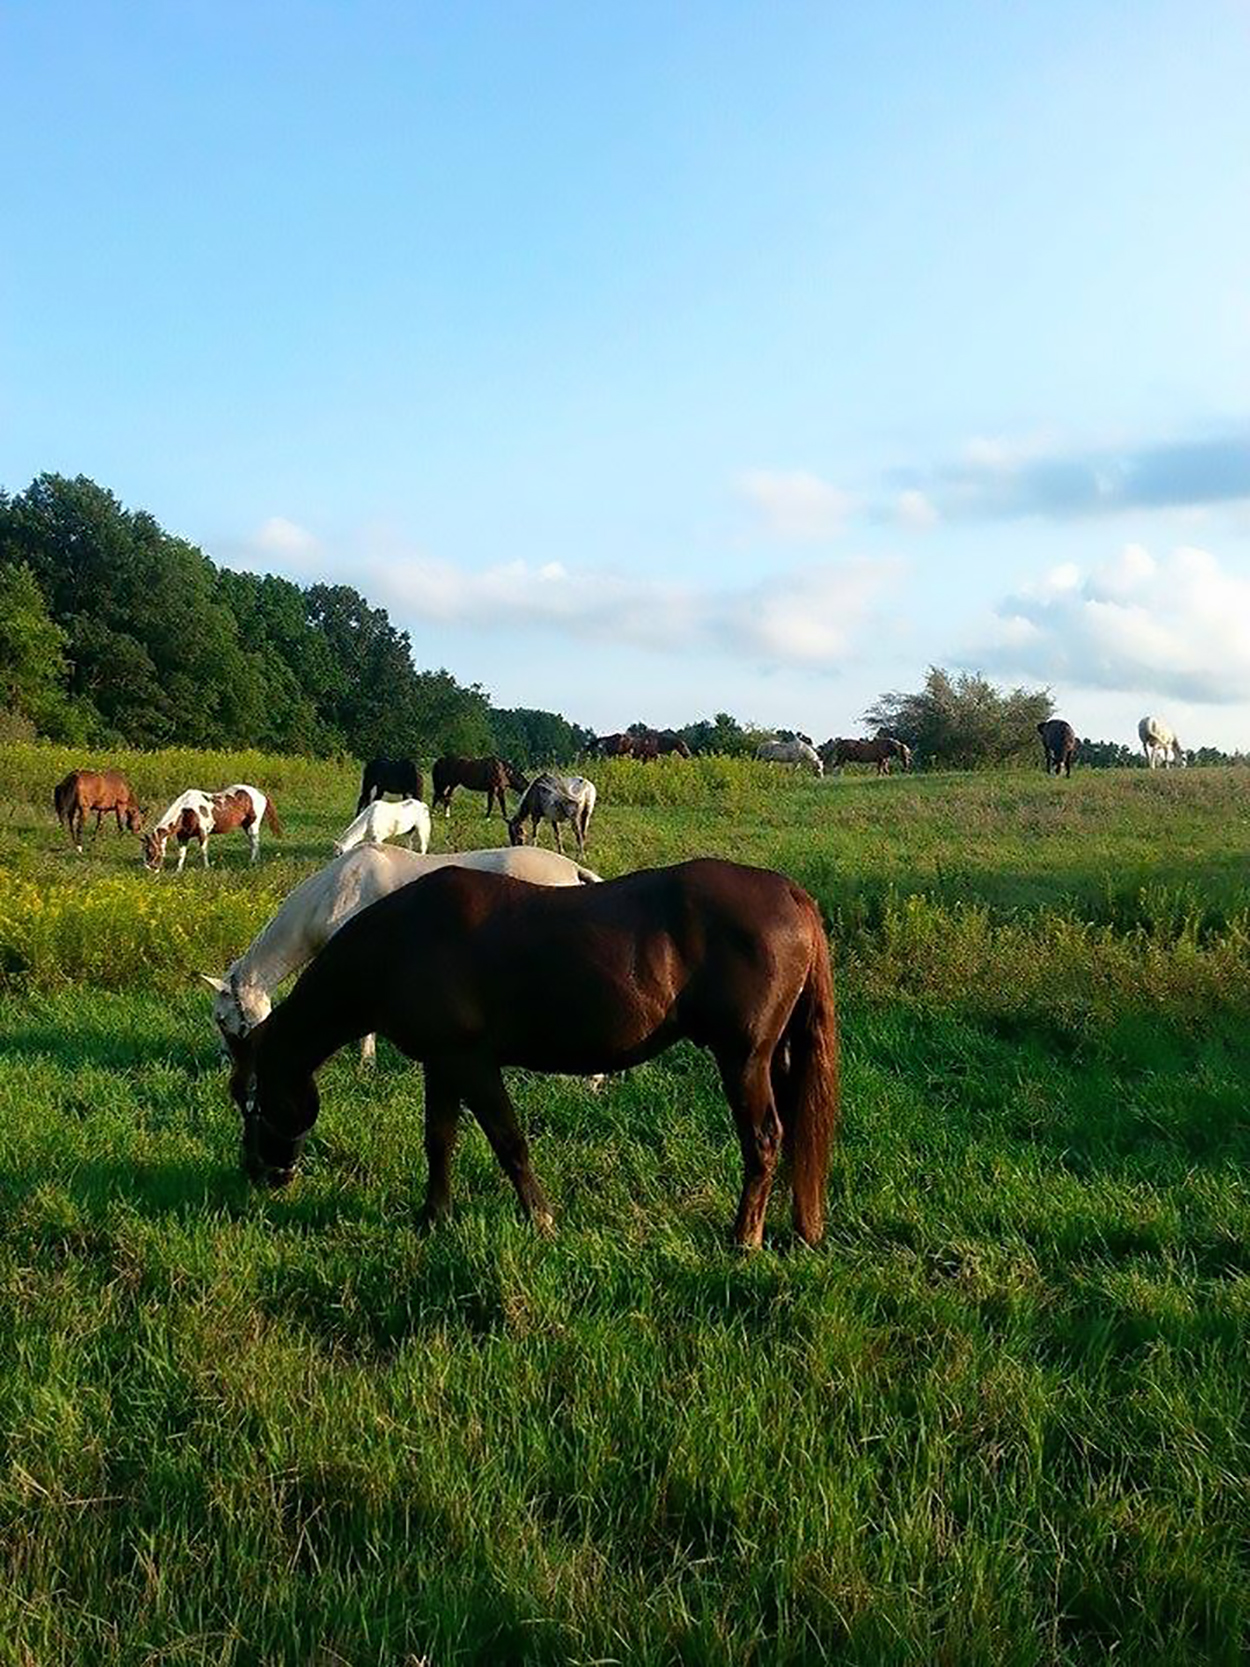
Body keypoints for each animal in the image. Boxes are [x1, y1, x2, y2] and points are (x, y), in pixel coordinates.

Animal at [142, 784, 281, 872]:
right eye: (145, 850)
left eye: (150, 850)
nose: (150, 868)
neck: (186, 812)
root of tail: (260, 793)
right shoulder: (183, 836)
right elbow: (182, 854)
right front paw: (178, 871)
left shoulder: (203, 833)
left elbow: (203, 850)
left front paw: (207, 868)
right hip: (246, 825)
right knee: (253, 843)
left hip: (253, 824)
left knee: (255, 842)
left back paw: (252, 862)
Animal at [228, 858, 839, 1250]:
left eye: (249, 1098)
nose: (257, 1172)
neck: (402, 943)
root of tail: (792, 894)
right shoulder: (442, 1065)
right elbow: (439, 1141)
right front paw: (434, 1217)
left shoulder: (472, 1064)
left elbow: (509, 1143)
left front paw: (540, 1219)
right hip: (776, 1057)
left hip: (744, 1058)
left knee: (764, 1140)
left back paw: (744, 1239)